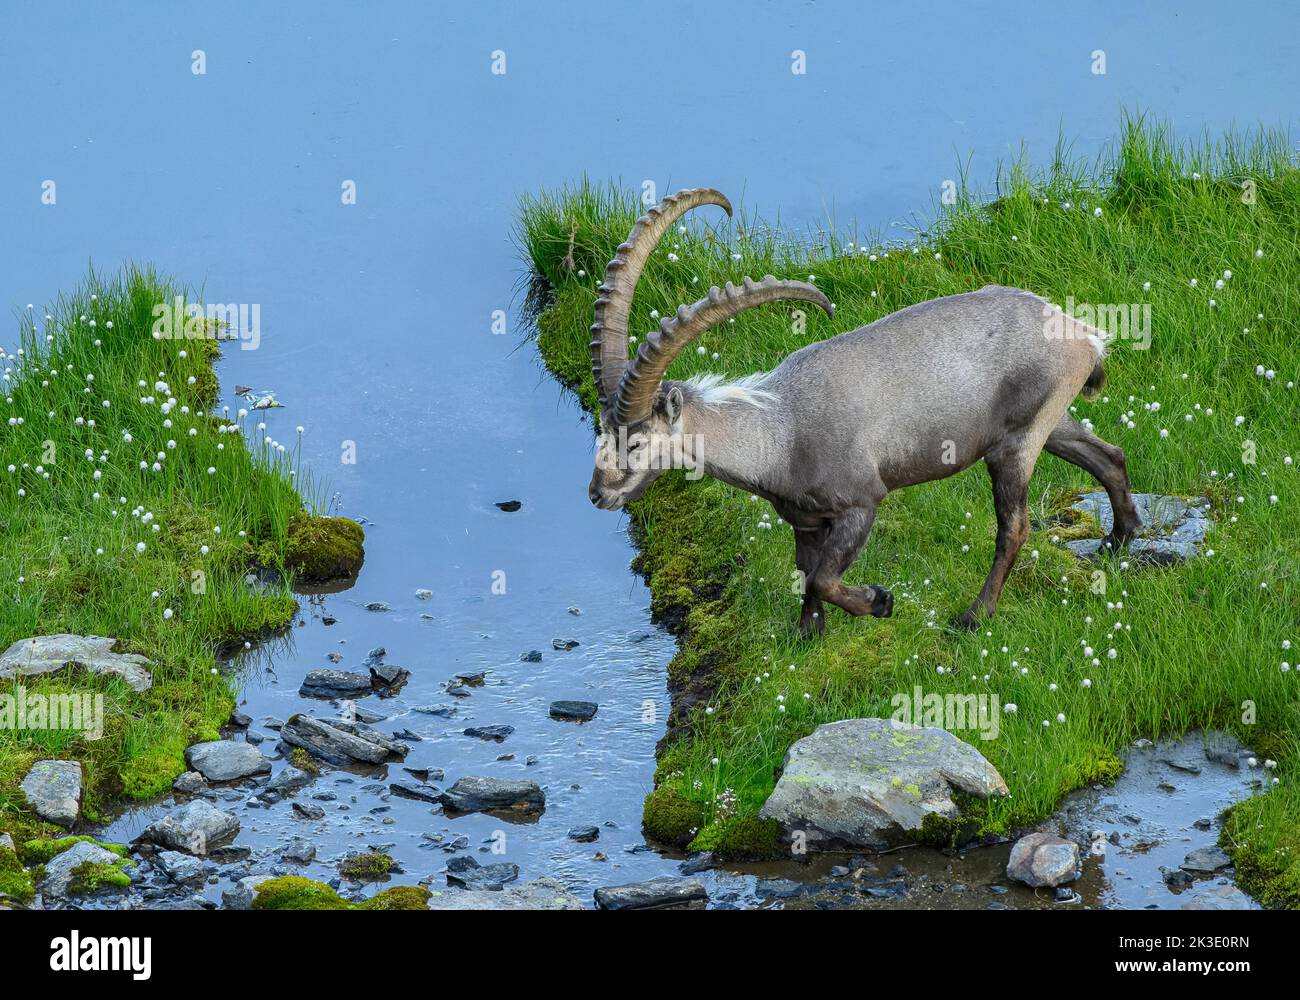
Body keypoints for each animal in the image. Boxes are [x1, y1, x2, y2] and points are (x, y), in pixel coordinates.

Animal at [587, 188, 1142, 636]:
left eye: (636, 439)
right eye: (600, 430)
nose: (597, 495)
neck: (779, 431)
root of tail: (1082, 334)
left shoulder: (861, 503)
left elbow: (823, 579)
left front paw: (880, 601)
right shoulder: (805, 521)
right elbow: (806, 577)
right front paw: (807, 637)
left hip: (1016, 445)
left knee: (1015, 527)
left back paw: (973, 616)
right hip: (1047, 422)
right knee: (1108, 454)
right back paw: (1118, 540)